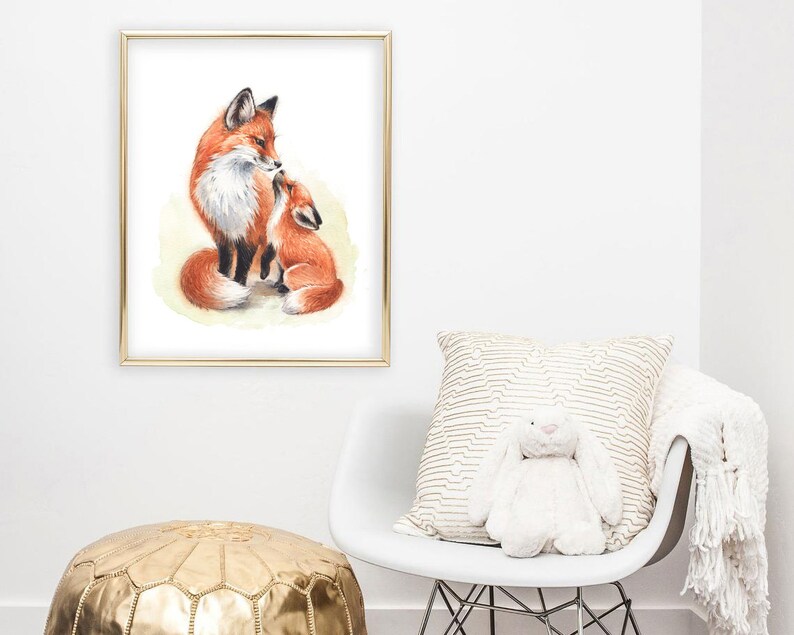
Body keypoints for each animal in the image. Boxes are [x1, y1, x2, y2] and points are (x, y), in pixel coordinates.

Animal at [180, 87, 281, 310]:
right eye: (260, 142)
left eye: (273, 142)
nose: (279, 163)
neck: (227, 190)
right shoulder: (221, 233)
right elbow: (226, 265)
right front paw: (224, 283)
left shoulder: (250, 234)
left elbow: (241, 269)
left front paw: (239, 289)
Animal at [268, 171, 344, 315]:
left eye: (290, 187)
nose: (282, 171)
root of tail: (335, 281)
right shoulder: (278, 260)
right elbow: (279, 274)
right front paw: (277, 283)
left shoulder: (280, 255)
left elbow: (280, 273)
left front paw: (281, 287)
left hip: (291, 273)